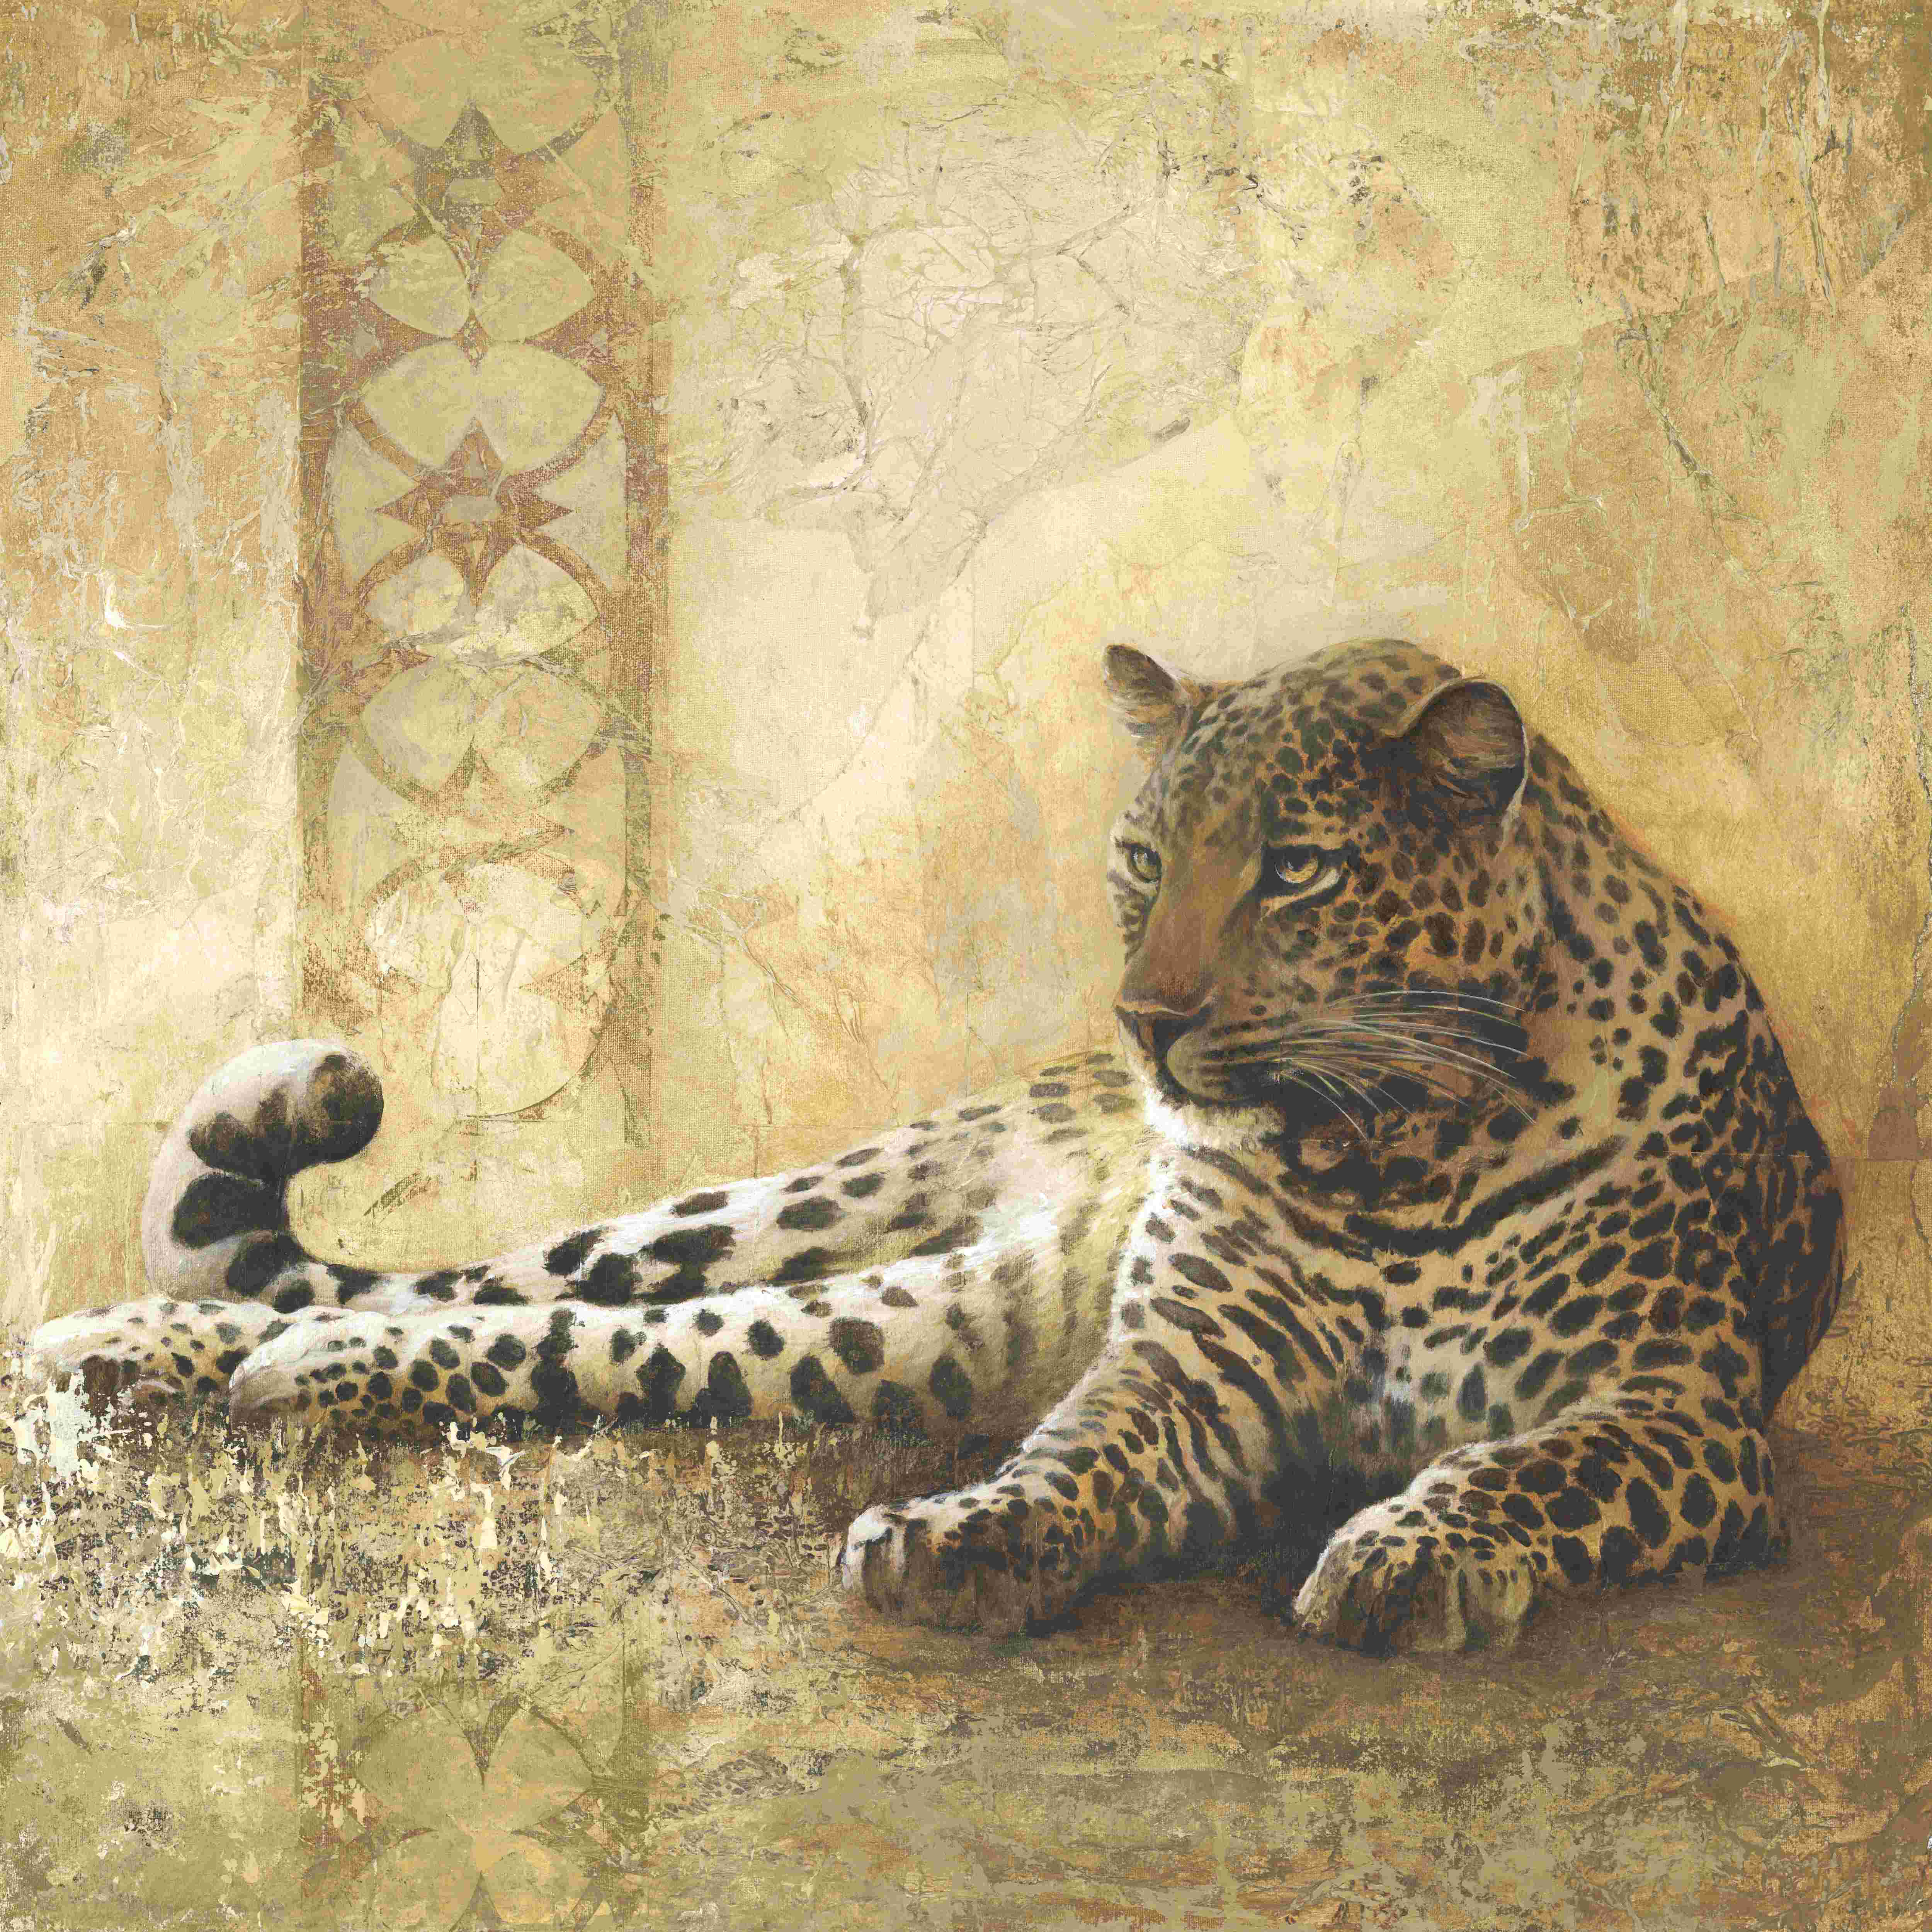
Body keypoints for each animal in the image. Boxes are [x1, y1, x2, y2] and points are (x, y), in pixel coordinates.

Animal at [26, 637, 1845, 1653]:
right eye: (1141, 856)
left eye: (1298, 871)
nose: (1148, 1019)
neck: (1378, 1155)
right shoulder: (1187, 1377)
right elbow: (1080, 1454)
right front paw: (965, 1539)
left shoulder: (1682, 1413)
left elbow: (1519, 1465)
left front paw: (1402, 1551)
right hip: (810, 1219)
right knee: (508, 1286)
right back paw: (125, 1344)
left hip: (929, 1318)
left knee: (581, 1336)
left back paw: (248, 1369)